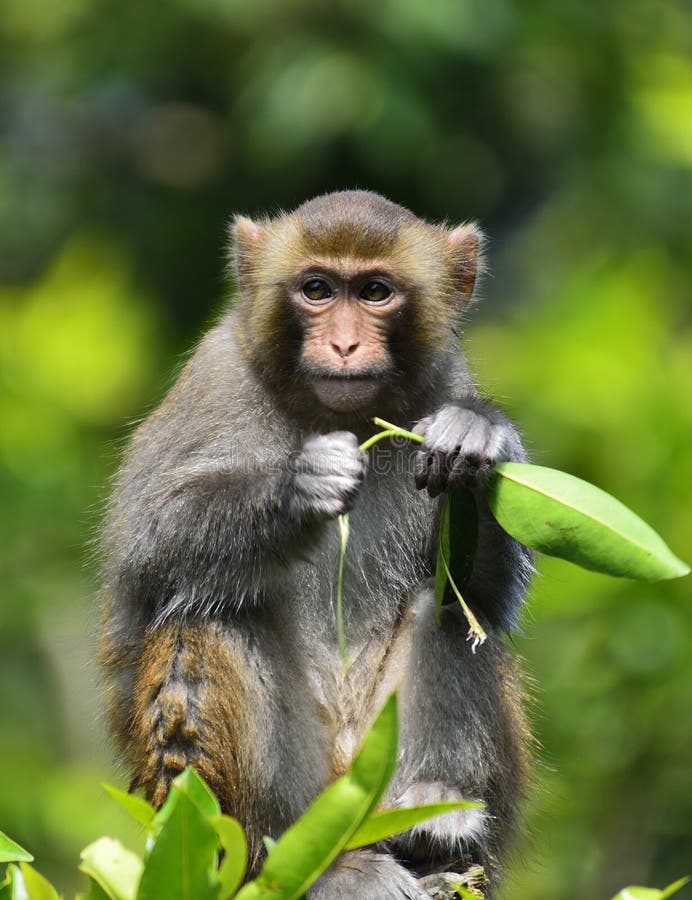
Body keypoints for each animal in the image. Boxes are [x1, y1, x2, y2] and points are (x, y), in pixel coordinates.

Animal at [98, 190, 533, 899]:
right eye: (317, 290)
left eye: (376, 291)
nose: (345, 342)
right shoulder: (214, 379)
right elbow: (149, 548)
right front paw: (299, 485)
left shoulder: (444, 380)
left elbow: (479, 598)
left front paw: (478, 434)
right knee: (209, 613)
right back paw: (313, 867)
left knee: (441, 608)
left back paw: (433, 825)